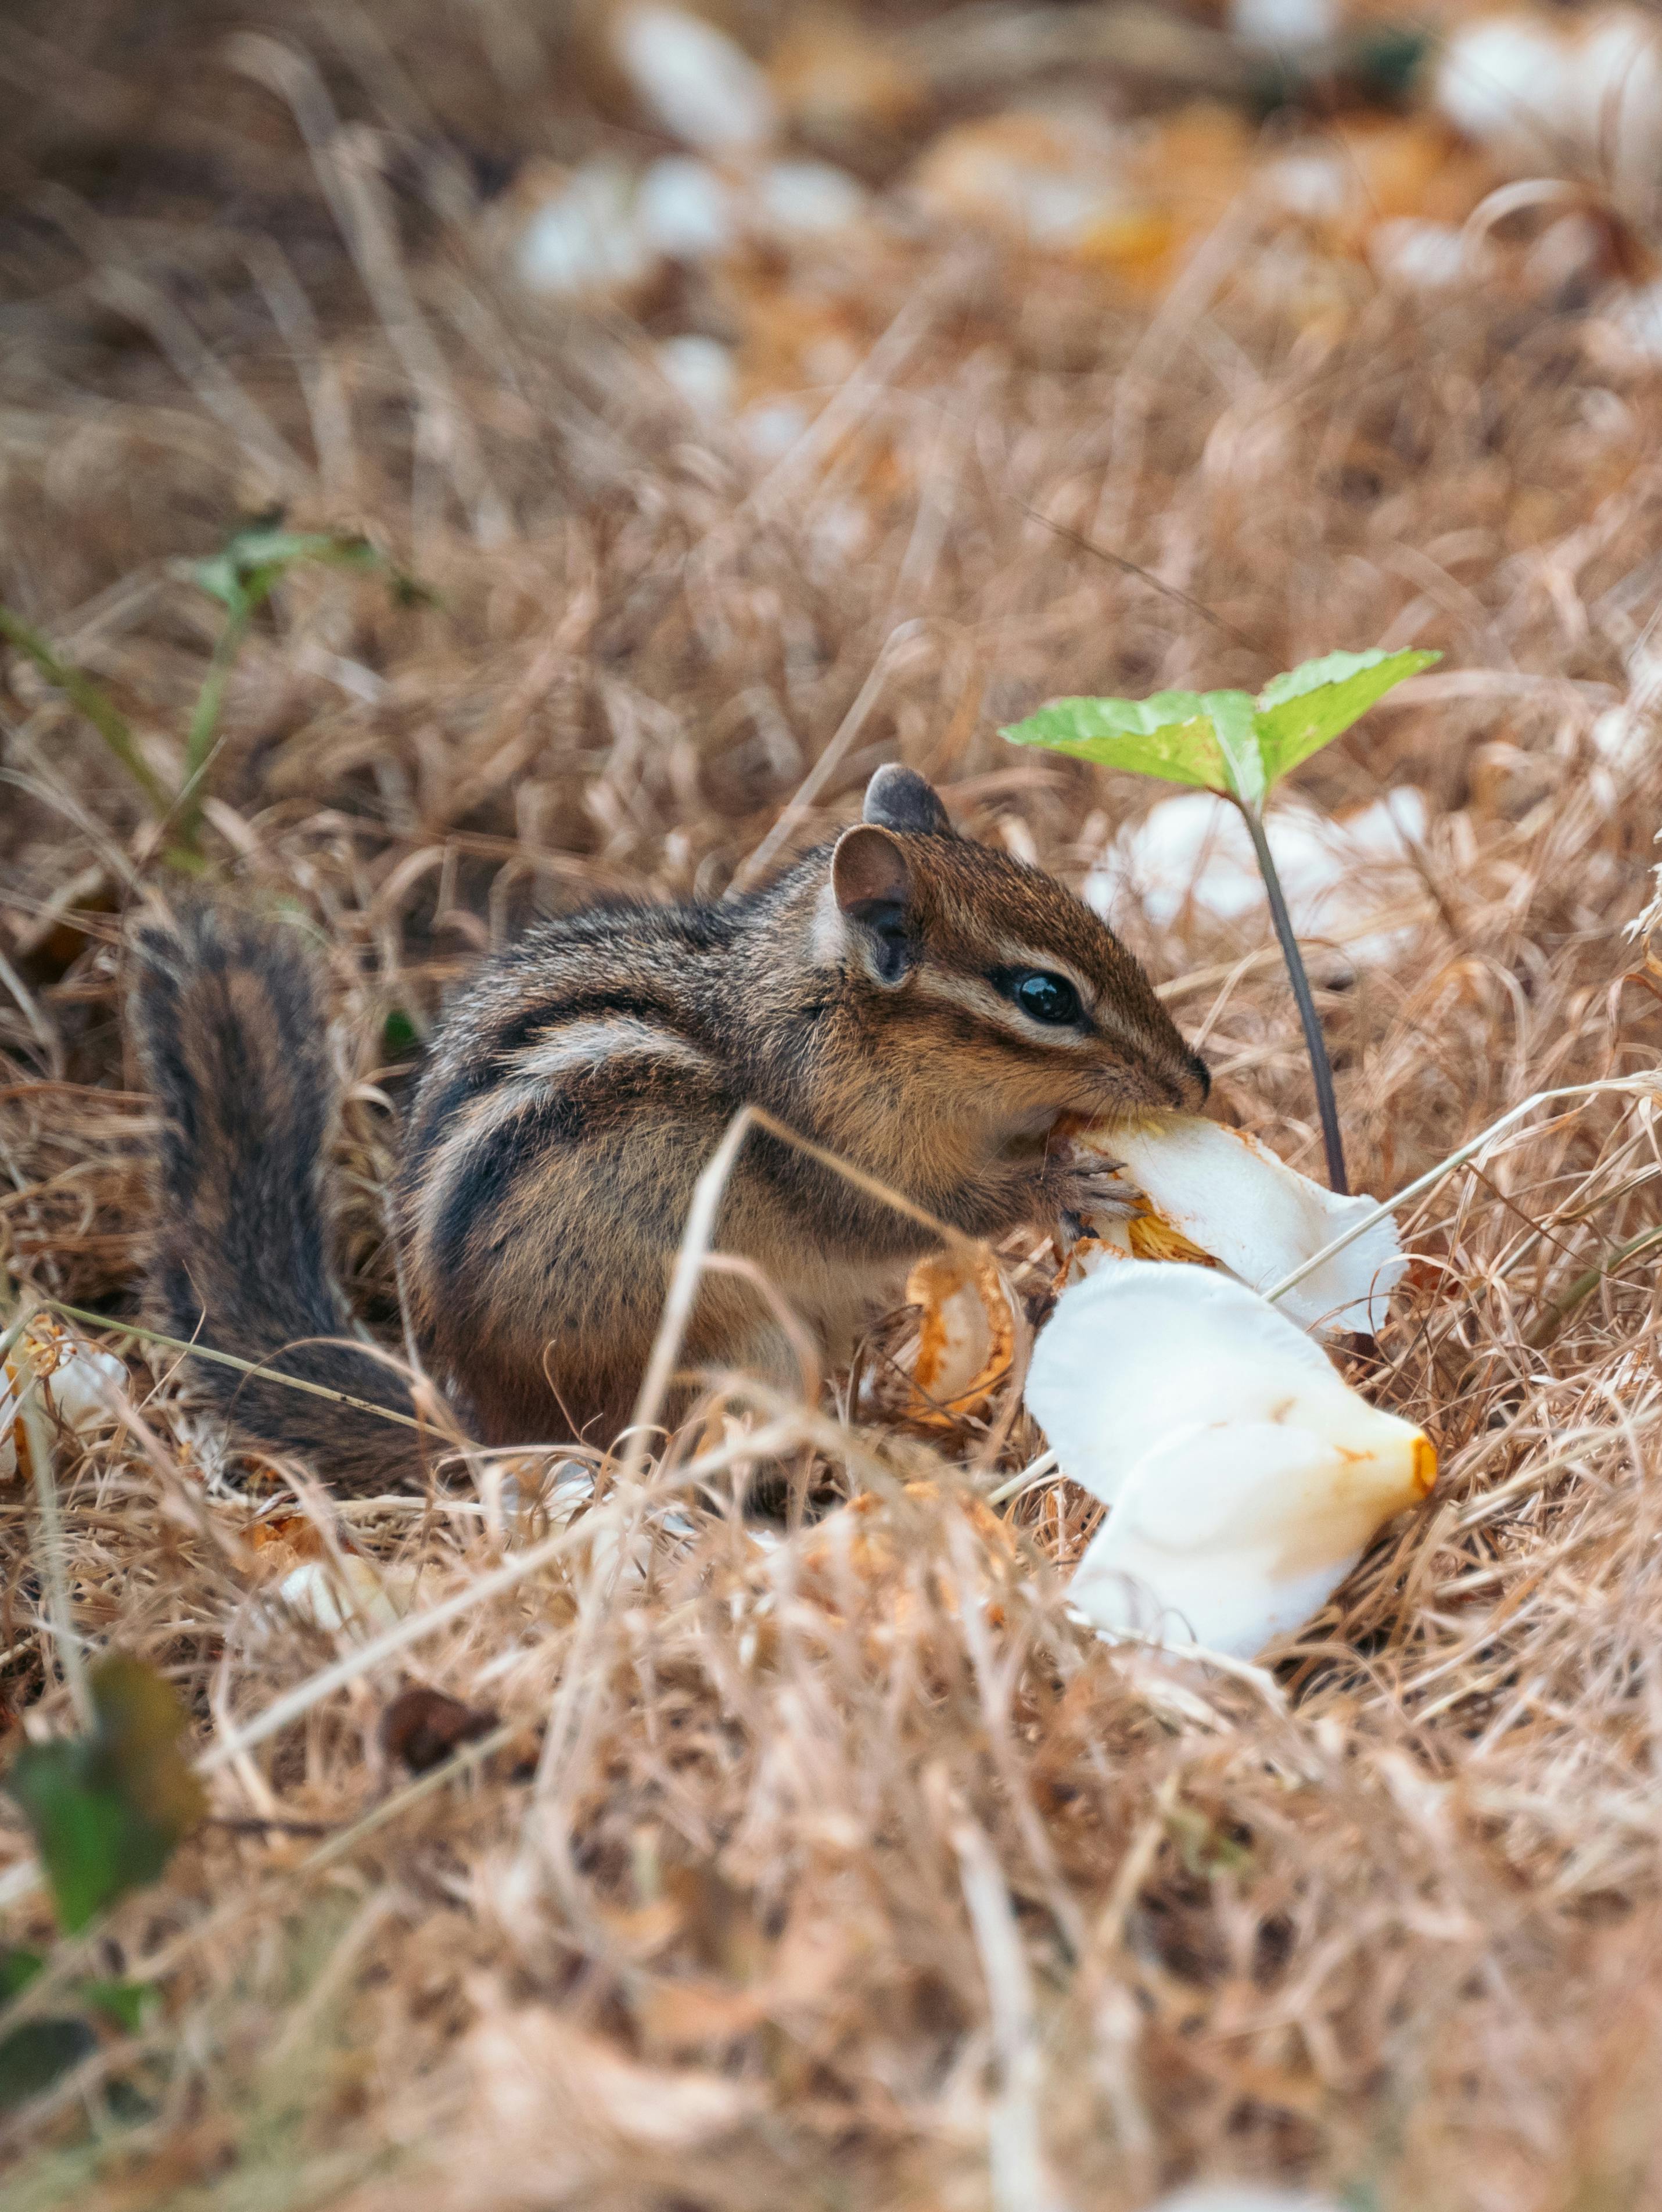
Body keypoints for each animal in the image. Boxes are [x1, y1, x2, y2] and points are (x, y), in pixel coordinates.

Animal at [129, 766, 1209, 1487]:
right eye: (1044, 996)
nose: (1195, 1079)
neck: (822, 1010)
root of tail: (491, 1424)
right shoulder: (837, 1150)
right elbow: (913, 1214)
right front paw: (1059, 1179)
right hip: (733, 1346)